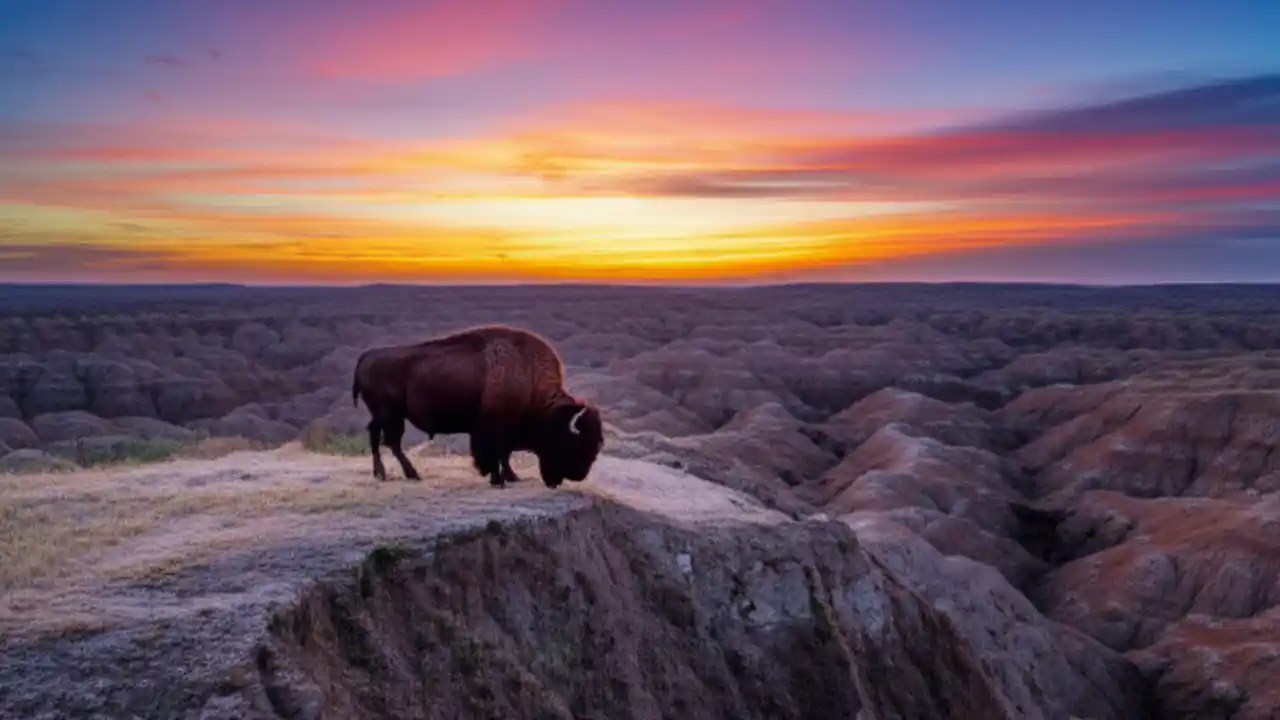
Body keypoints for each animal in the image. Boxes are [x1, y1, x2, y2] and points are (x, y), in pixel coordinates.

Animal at [352, 325, 604, 488]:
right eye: (574, 443)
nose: (578, 475)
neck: (528, 376)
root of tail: (367, 355)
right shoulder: (492, 426)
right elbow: (495, 453)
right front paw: (498, 480)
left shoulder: (506, 430)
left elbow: (505, 454)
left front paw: (512, 477)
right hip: (389, 414)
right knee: (388, 440)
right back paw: (404, 474)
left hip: (389, 415)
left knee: (381, 437)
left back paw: (388, 474)